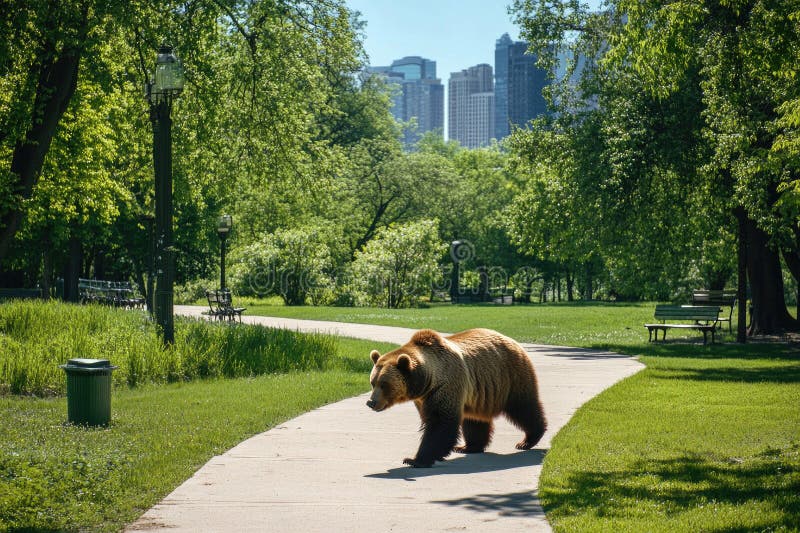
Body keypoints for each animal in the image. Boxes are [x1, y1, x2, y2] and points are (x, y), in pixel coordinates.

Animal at [367, 328, 546, 468]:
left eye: (384, 384)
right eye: (372, 382)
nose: (371, 402)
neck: (426, 381)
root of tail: (513, 341)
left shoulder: (444, 386)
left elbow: (440, 423)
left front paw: (415, 459)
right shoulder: (423, 398)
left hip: (511, 376)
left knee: (523, 408)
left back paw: (528, 440)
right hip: (481, 393)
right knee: (474, 420)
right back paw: (469, 446)